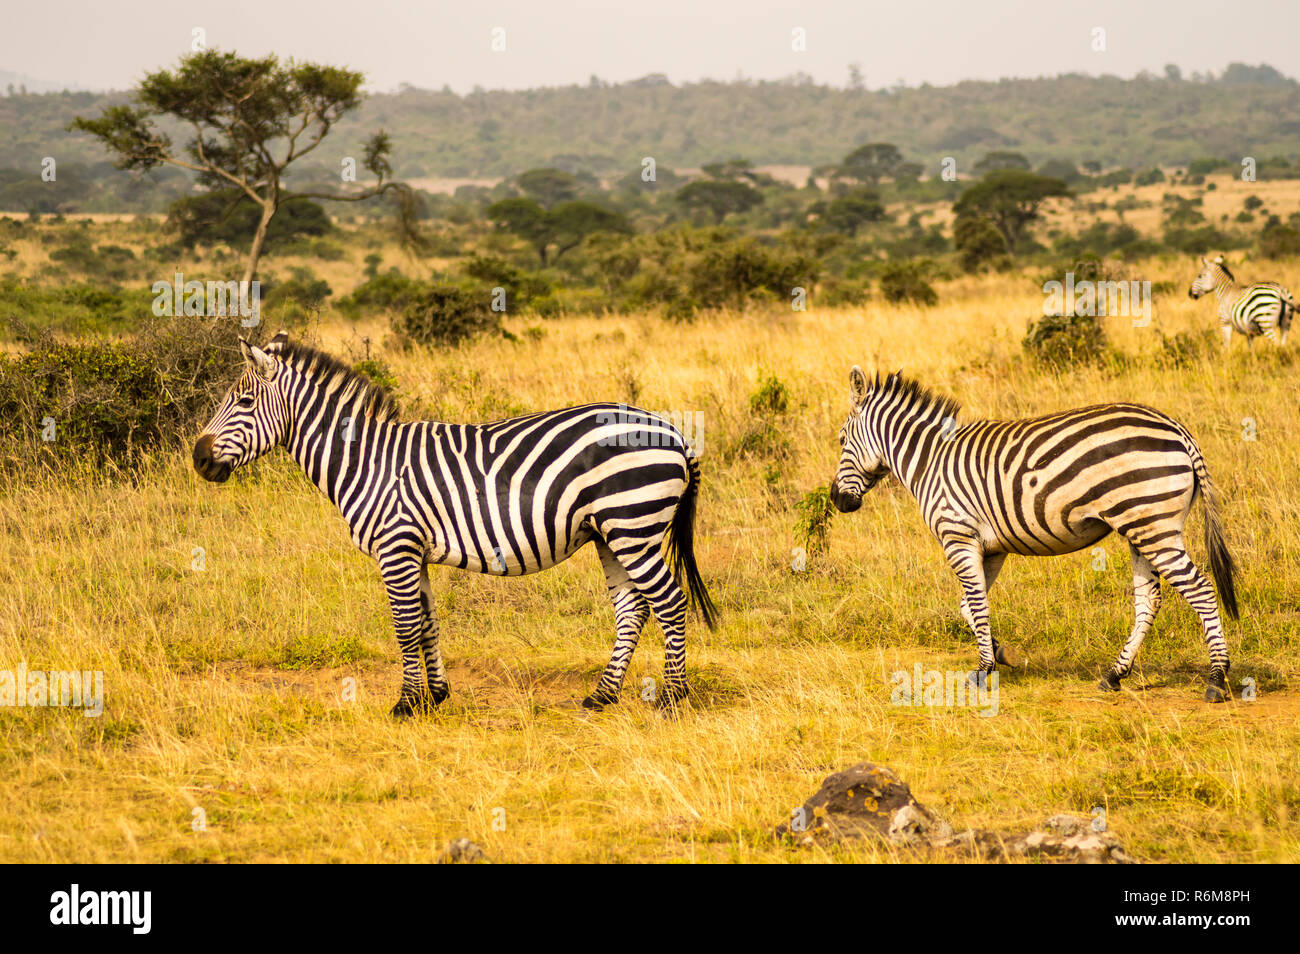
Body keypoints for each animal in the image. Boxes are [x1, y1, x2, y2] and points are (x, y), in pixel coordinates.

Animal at [192, 333, 717, 717]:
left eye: (243, 402)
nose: (197, 459)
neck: (366, 462)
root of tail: (674, 432)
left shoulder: (396, 546)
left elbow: (405, 627)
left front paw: (406, 704)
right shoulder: (413, 550)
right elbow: (427, 623)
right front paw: (435, 696)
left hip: (634, 524)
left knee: (670, 602)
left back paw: (673, 698)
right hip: (612, 532)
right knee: (633, 608)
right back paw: (601, 696)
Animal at [829, 368, 1239, 702]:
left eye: (841, 440)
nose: (836, 500)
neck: (929, 460)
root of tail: (1178, 430)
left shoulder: (958, 536)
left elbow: (975, 604)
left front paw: (983, 670)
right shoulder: (990, 548)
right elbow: (968, 606)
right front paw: (1001, 653)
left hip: (1153, 524)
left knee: (1200, 589)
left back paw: (1217, 678)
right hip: (1142, 527)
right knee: (1148, 601)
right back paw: (1114, 675)